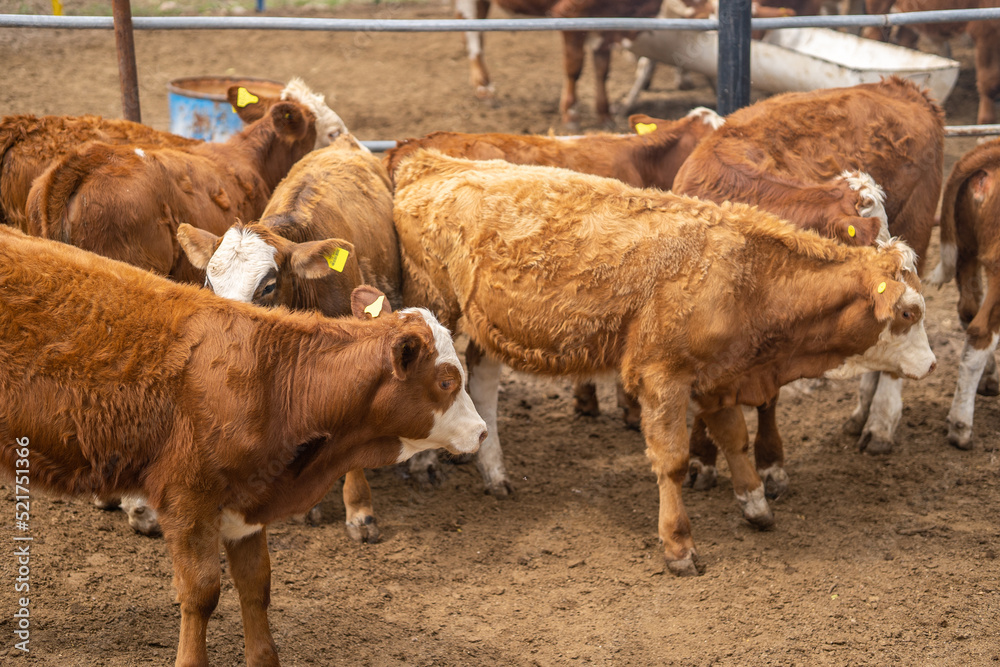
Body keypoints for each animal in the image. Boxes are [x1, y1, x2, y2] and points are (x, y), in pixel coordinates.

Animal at [0, 225, 487, 666]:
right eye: (447, 380)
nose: (482, 431)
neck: (270, 377)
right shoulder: (187, 504)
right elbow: (201, 594)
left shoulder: (248, 509)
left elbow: (256, 588)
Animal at [390, 149, 936, 575]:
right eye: (908, 312)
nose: (931, 365)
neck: (743, 277)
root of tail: (432, 161)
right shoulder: (662, 376)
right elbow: (672, 460)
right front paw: (679, 545)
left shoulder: (719, 375)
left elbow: (735, 439)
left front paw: (755, 504)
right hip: (434, 307)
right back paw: (425, 463)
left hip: (488, 325)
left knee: (482, 382)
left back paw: (495, 473)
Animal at [455, 0, 662, 127]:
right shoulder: (571, 15)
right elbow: (574, 68)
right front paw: (571, 113)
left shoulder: (607, 26)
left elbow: (602, 71)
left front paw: (605, 116)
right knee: (473, 38)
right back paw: (484, 88)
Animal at [672, 76, 944, 495]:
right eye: (865, 244)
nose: (892, 263)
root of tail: (903, 87)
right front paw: (702, 458)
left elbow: (768, 399)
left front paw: (770, 465)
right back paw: (861, 414)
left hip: (918, 224)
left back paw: (880, 423)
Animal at [861, 0, 1000, 124]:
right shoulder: (987, 32)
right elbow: (989, 83)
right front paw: (985, 125)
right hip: (880, 8)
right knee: (874, 36)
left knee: (904, 39)